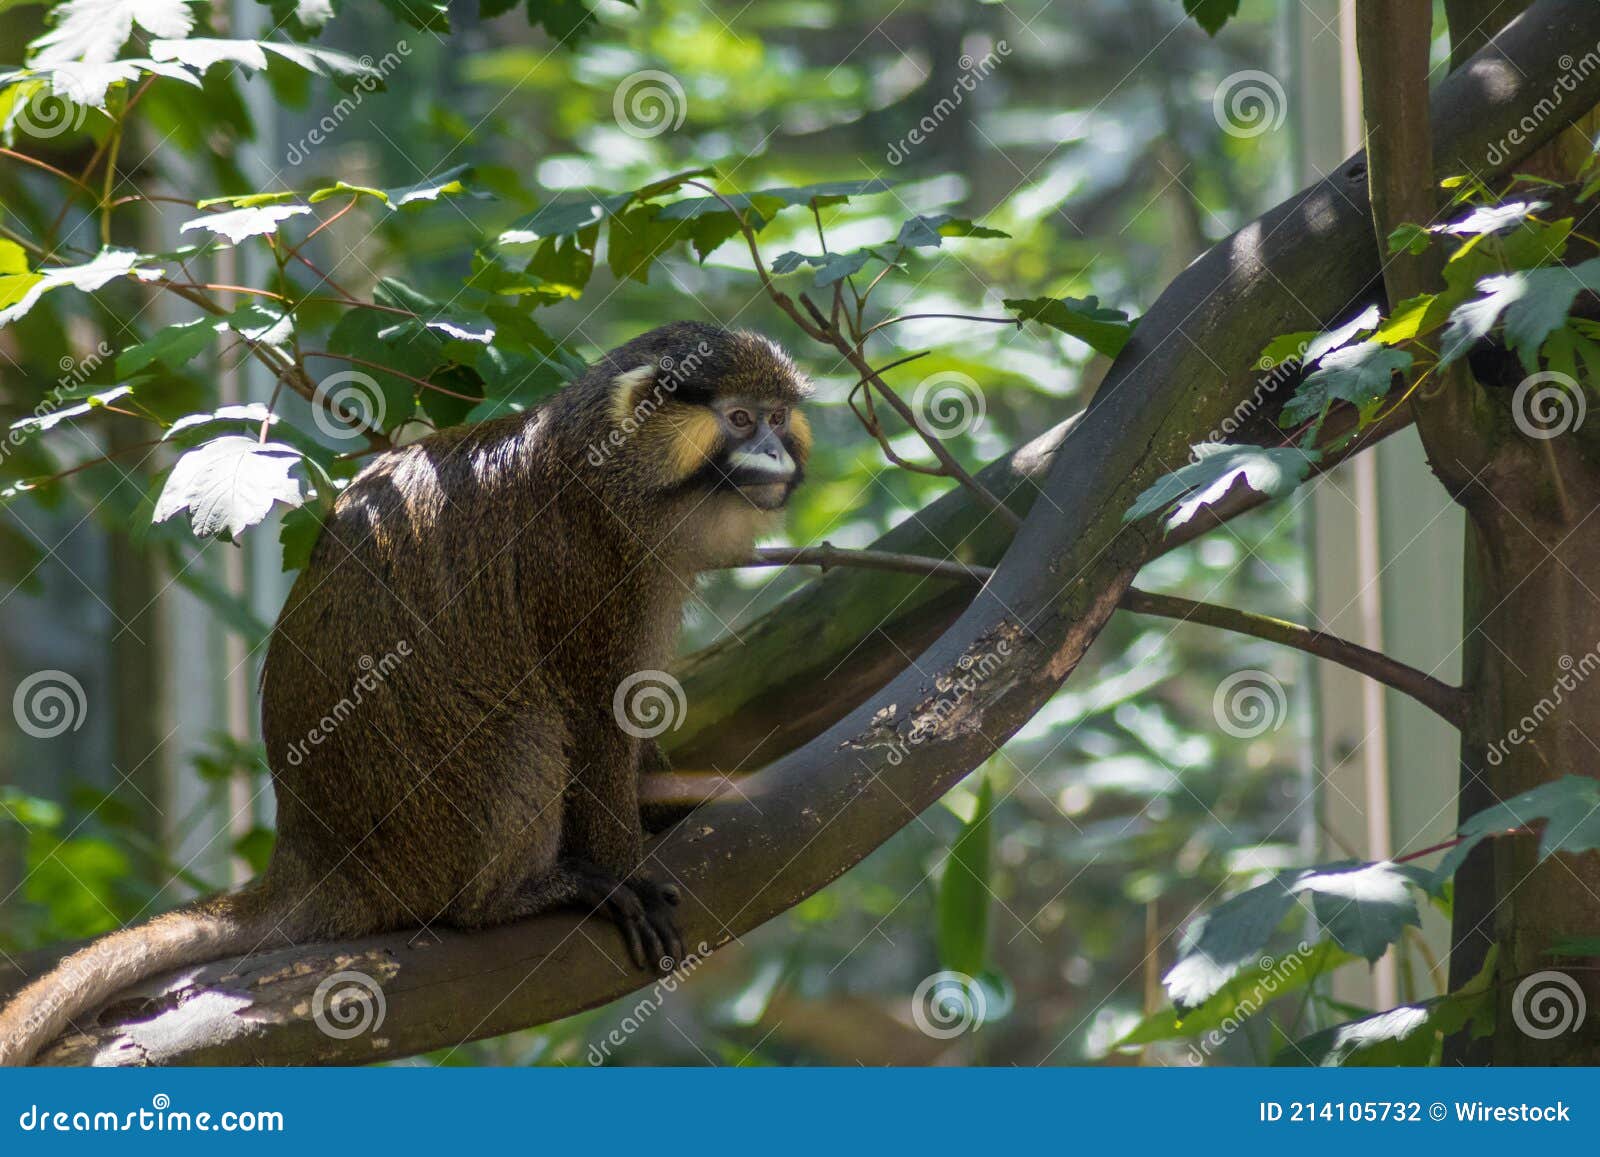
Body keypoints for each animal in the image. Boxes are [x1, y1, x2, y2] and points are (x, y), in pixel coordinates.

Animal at [0, 321, 812, 1065]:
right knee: (528, 730)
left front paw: (662, 798)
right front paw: (623, 870)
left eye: (778, 418)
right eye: (740, 419)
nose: (776, 453)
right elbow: (592, 713)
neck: (613, 471)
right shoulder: (584, 559)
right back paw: (513, 898)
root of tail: (321, 859)